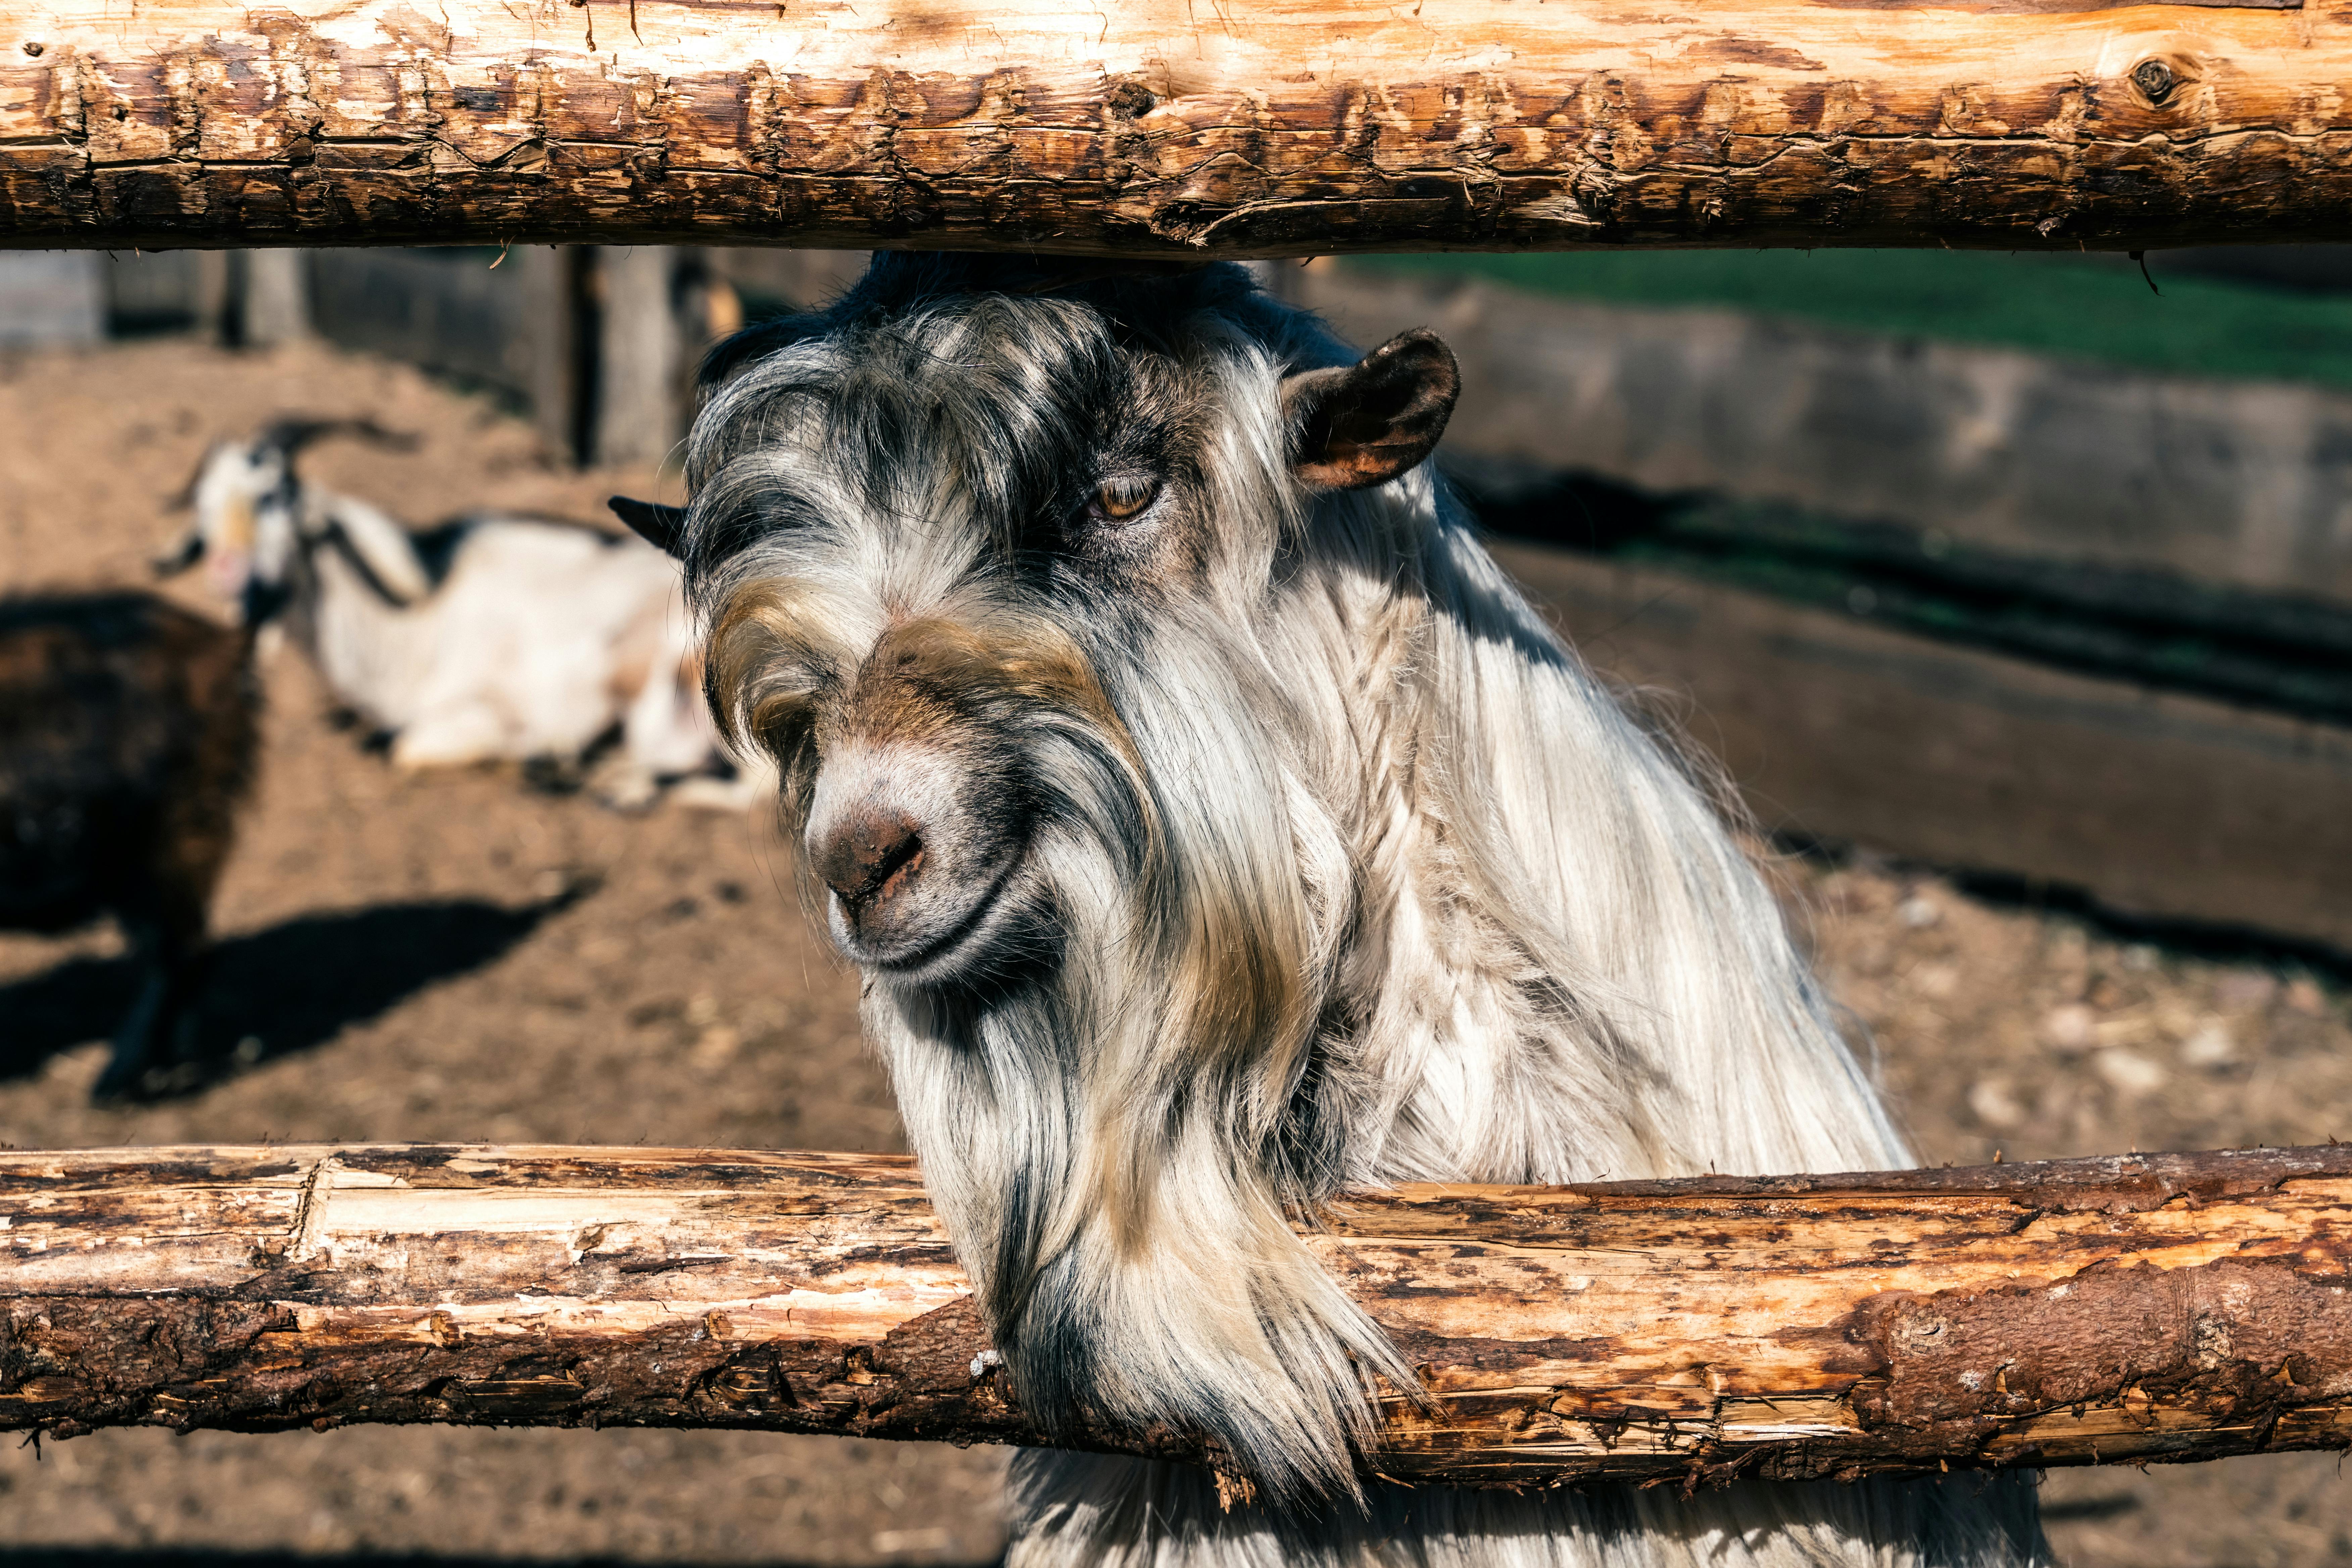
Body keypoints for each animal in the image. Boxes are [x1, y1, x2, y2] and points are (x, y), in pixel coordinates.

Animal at [160, 421, 760, 810]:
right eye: (204, 509)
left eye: (274, 497)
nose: (228, 574)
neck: (419, 623)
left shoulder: (496, 707)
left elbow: (402, 746)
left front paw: (541, 752)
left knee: (743, 788)